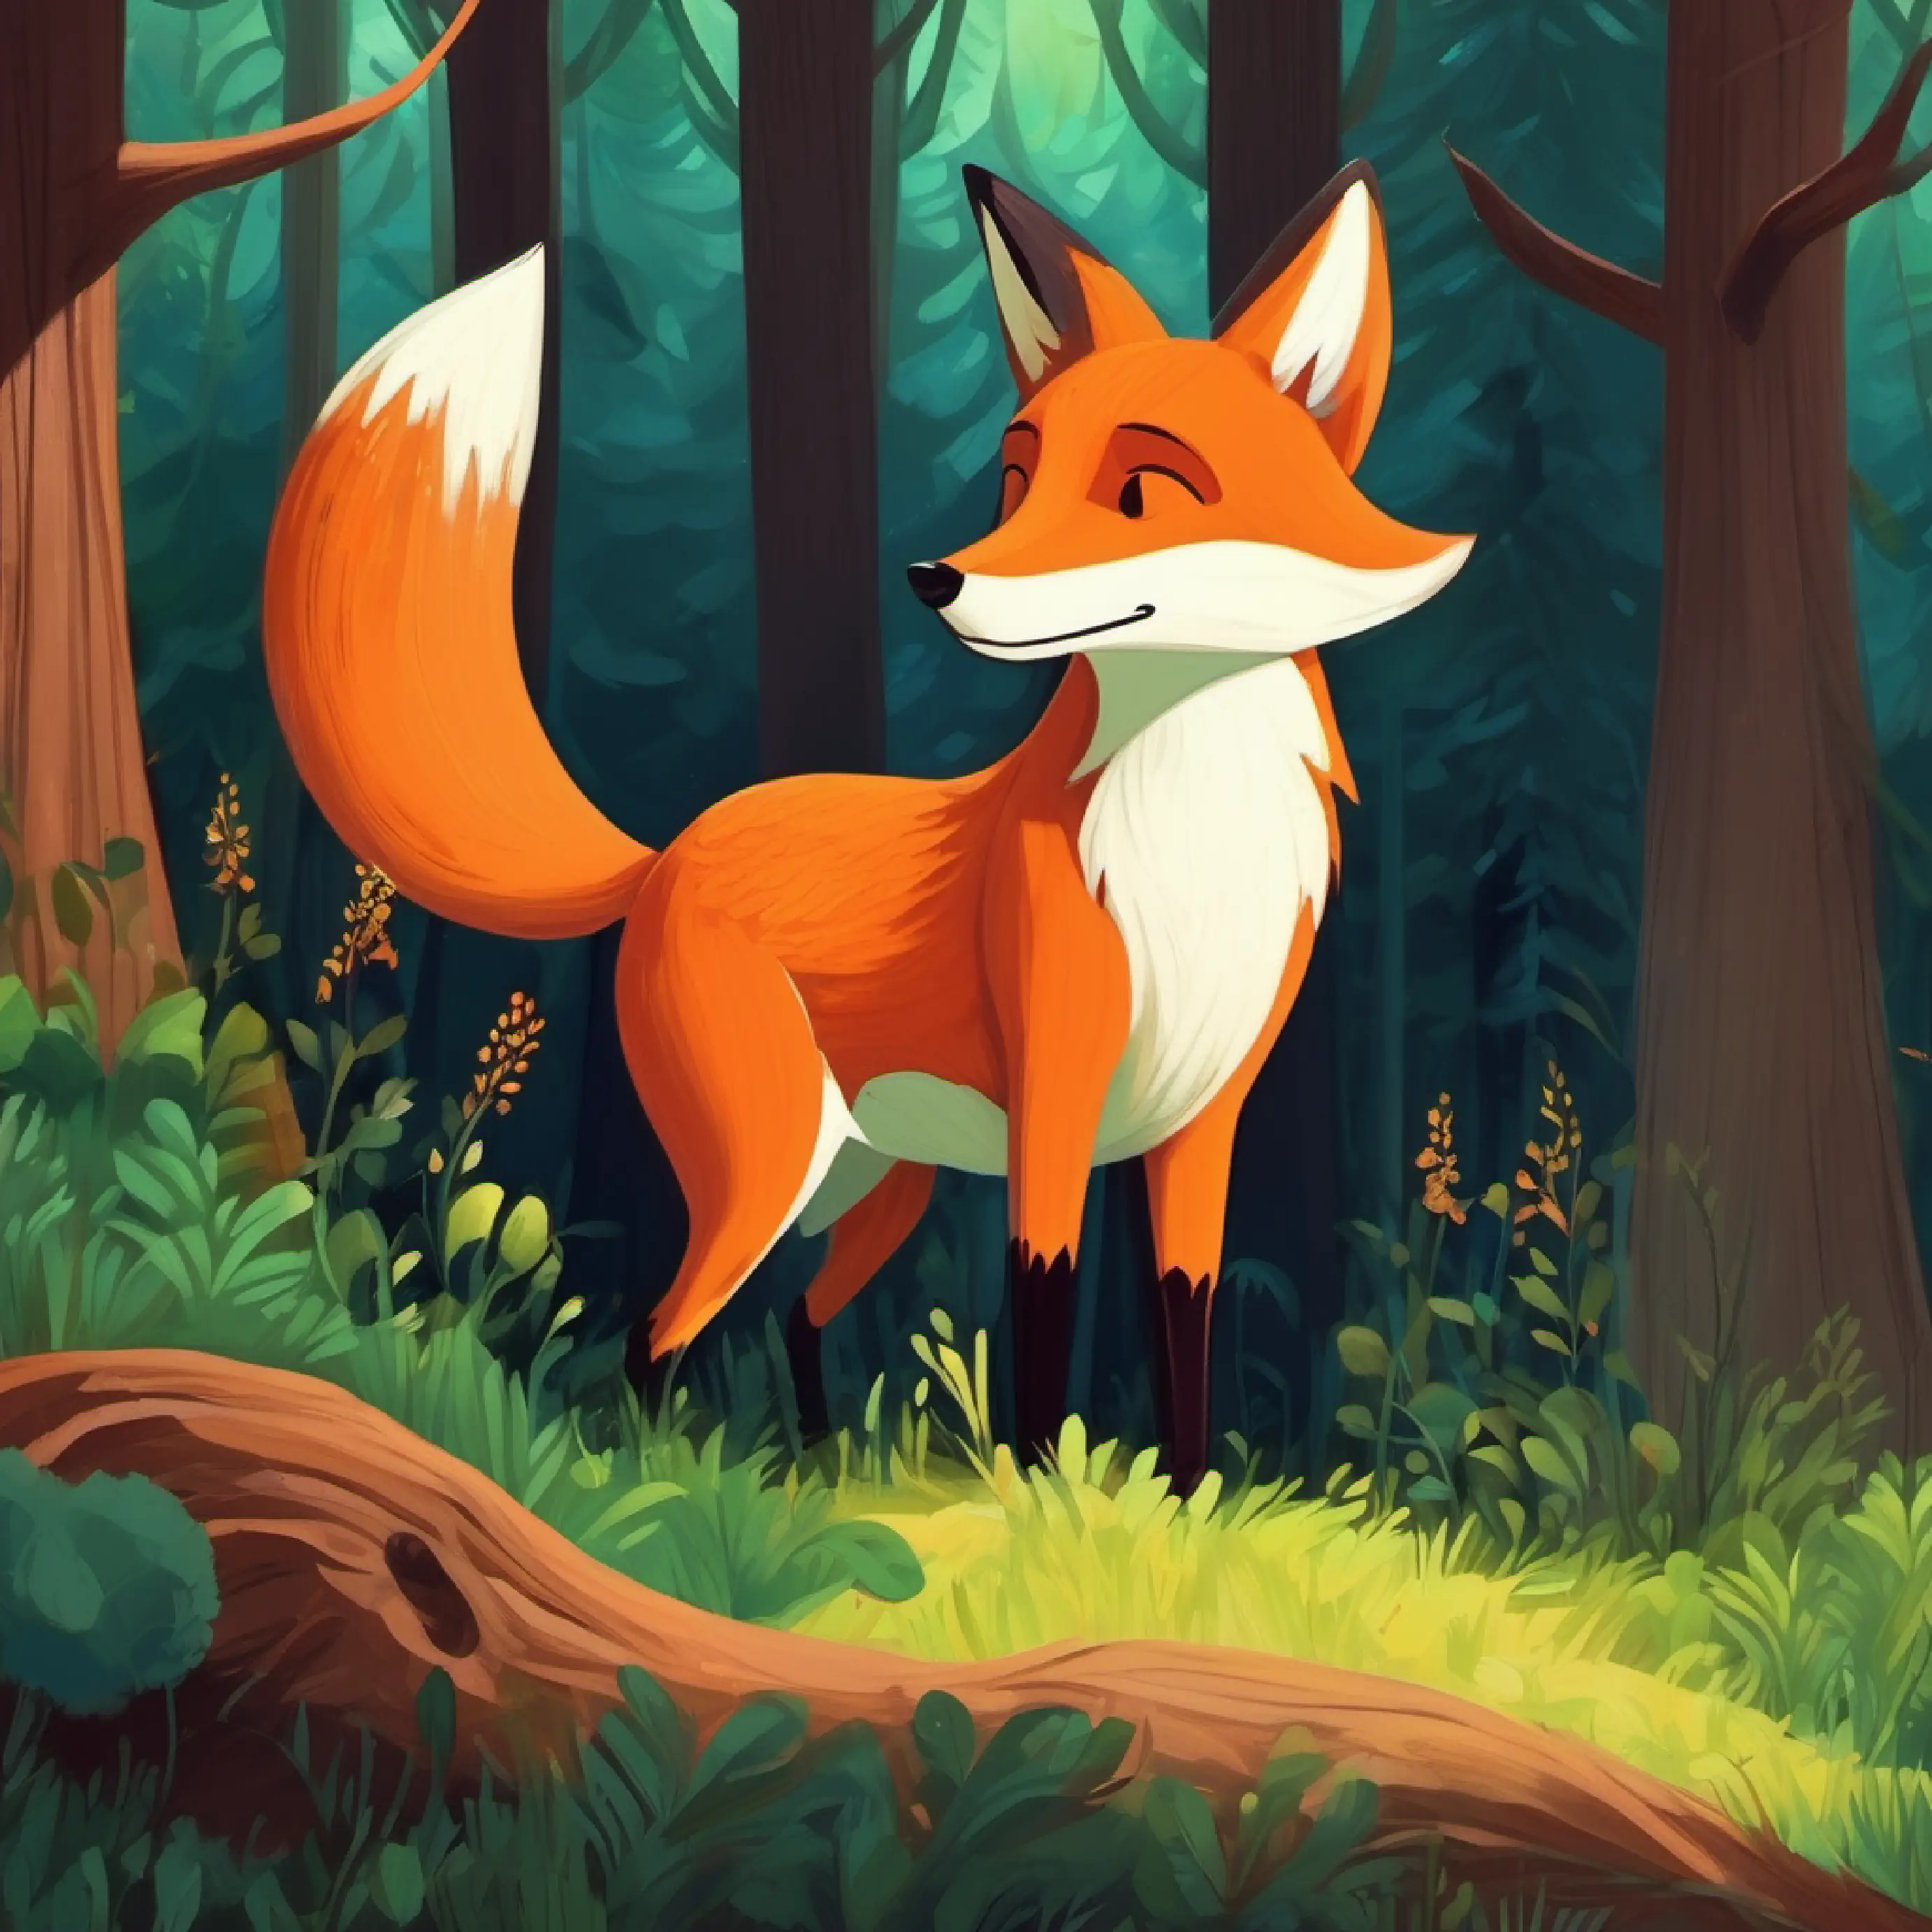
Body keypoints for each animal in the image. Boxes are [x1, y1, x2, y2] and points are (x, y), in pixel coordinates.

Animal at [262, 161, 1471, 1491]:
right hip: (770, 1164)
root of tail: (670, 850)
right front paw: (1044, 1501)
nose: (934, 578)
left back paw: (817, 1466)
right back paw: (671, 1489)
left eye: (1142, 492)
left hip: (879, 1182)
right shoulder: (1054, 1102)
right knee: (656, 1333)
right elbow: (1041, 1312)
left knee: (795, 1312)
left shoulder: (1204, 1129)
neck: (1193, 850)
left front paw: (1190, 1502)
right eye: (1015, 481)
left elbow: (1184, 1327)